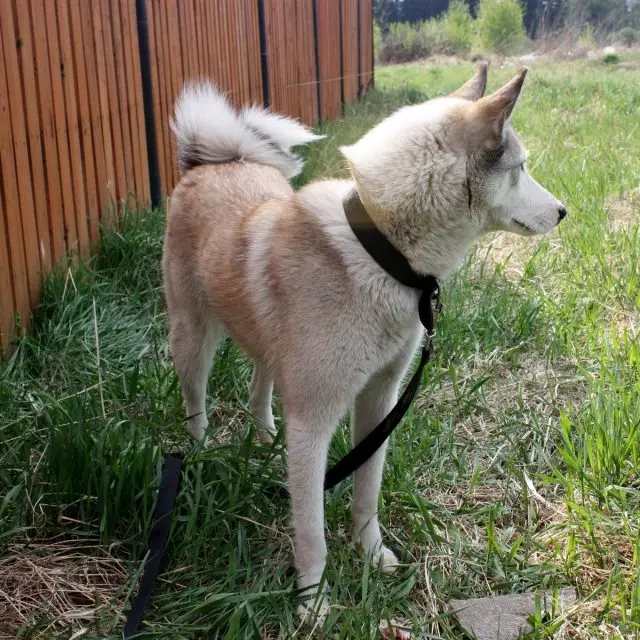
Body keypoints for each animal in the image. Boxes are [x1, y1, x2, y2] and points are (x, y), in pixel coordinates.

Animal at [162, 65, 568, 620]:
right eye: (520, 167)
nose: (564, 211)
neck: (383, 248)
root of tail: (211, 164)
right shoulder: (314, 423)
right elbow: (311, 530)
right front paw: (312, 602)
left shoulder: (380, 401)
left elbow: (367, 493)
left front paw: (371, 554)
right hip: (193, 339)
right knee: (196, 402)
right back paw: (202, 452)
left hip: (265, 348)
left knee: (259, 386)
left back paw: (265, 440)